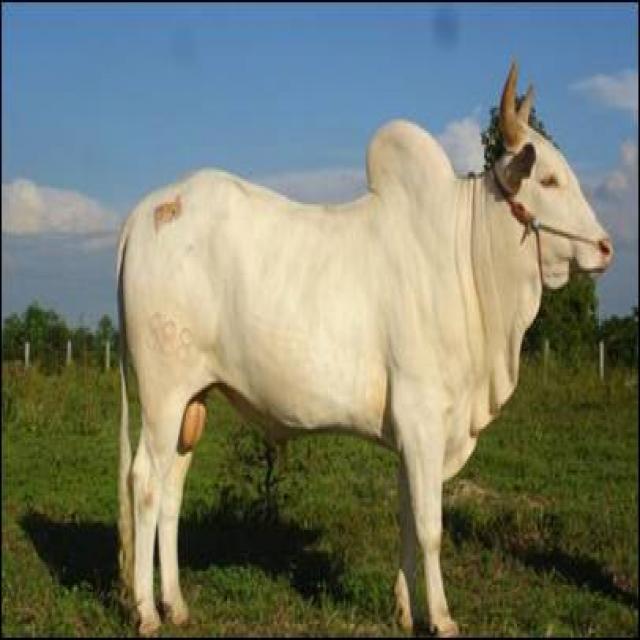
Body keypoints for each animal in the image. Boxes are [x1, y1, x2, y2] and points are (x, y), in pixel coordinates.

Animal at [116, 62, 613, 636]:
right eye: (549, 179)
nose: (606, 246)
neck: (465, 261)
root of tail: (148, 210)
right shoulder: (422, 419)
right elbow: (430, 527)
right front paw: (441, 617)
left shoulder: (413, 434)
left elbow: (406, 519)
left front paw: (404, 610)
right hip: (161, 393)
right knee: (144, 484)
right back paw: (145, 611)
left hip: (192, 399)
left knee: (172, 488)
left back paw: (175, 604)